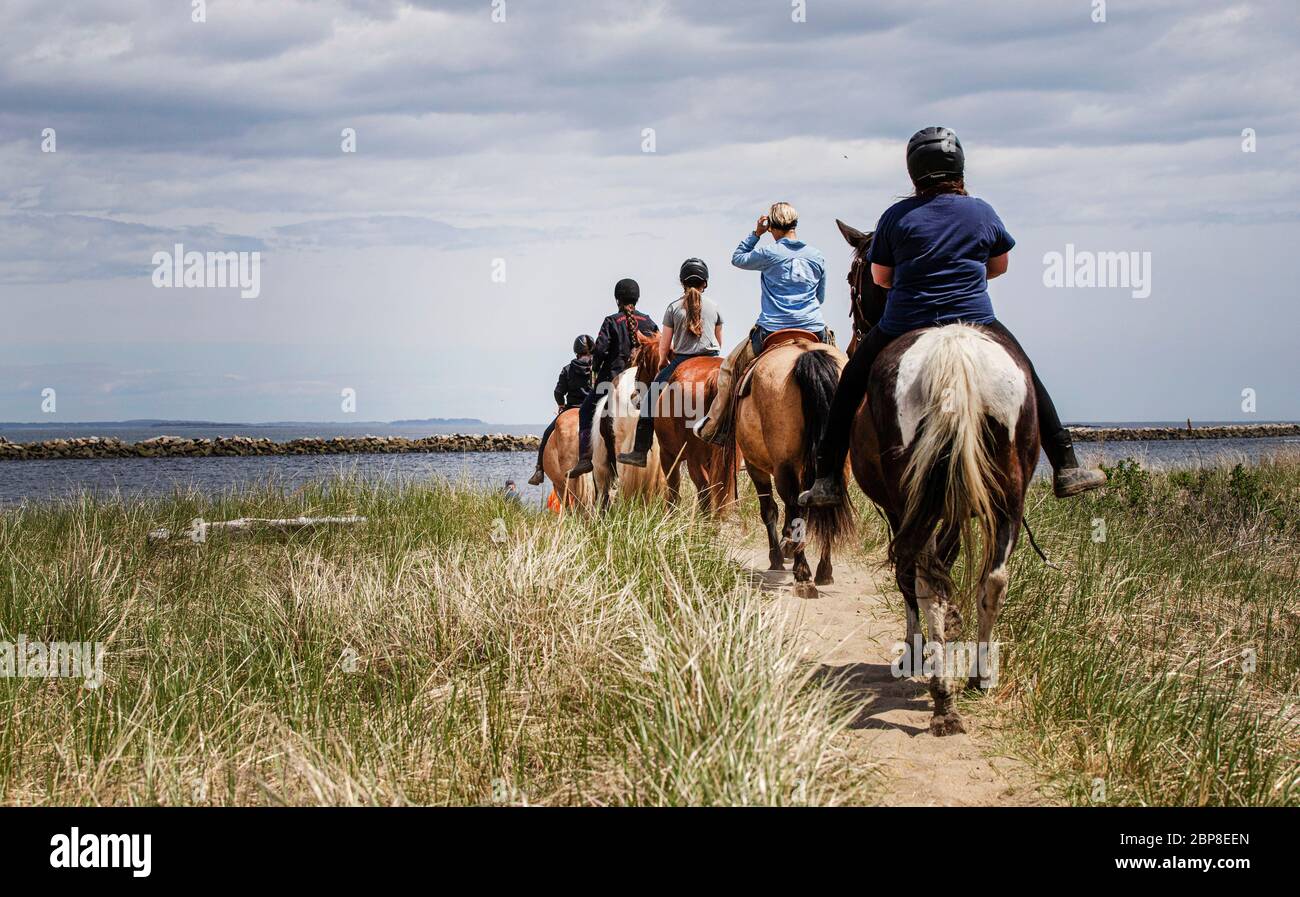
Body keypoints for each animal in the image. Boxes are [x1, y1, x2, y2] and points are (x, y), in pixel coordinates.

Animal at [627, 332, 737, 516]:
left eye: (638, 361)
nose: (633, 396)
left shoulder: (668, 455)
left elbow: (673, 491)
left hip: (694, 460)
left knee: (705, 493)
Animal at [730, 332, 853, 598]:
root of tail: (806, 353)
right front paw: (786, 547)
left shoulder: (756, 468)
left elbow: (770, 510)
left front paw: (777, 556)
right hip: (838, 464)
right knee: (823, 504)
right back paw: (823, 571)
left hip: (782, 466)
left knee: (793, 508)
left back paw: (803, 574)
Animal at [838, 219, 1039, 736]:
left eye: (852, 279)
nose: (851, 339)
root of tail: (954, 355)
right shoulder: (951, 507)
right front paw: (946, 633)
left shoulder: (901, 508)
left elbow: (911, 575)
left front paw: (919, 648)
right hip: (1007, 494)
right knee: (992, 578)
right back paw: (974, 678)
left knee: (924, 576)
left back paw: (942, 693)